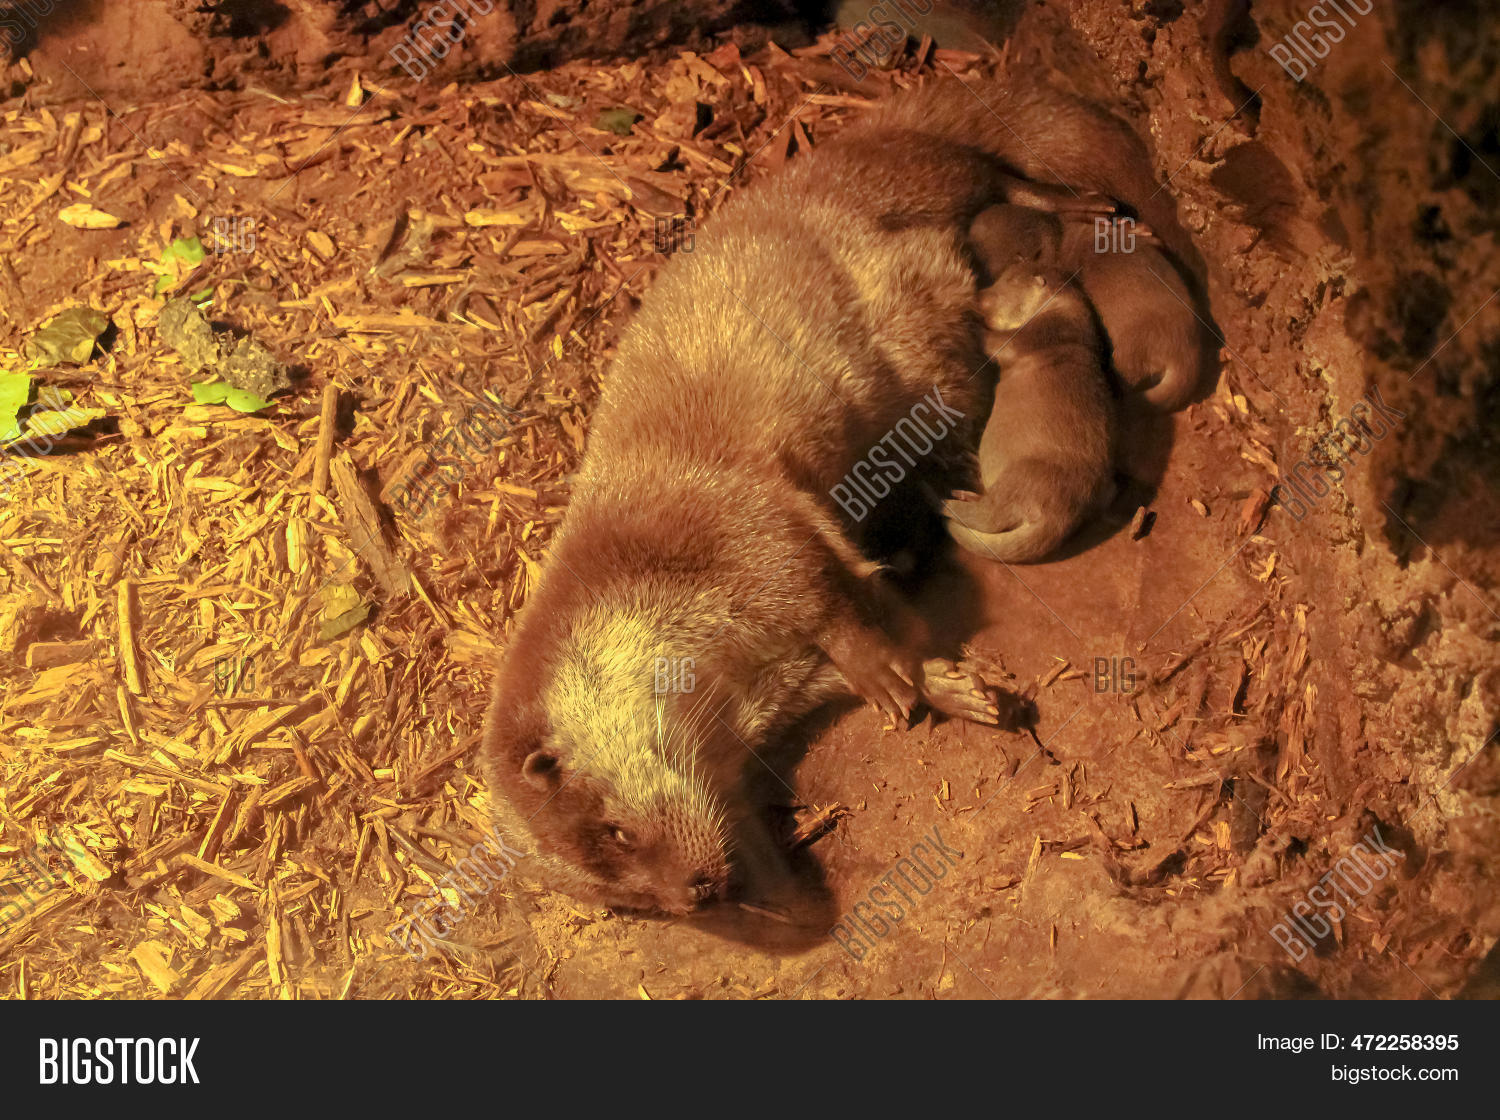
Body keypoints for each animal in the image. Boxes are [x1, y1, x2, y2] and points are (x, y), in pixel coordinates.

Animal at [481, 76, 1199, 915]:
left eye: (617, 830)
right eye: (625, 900)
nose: (697, 892)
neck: (638, 589)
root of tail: (863, 134)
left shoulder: (730, 522)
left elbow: (816, 585)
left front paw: (884, 666)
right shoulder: (775, 678)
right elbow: (862, 651)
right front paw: (950, 690)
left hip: (910, 178)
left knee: (992, 174)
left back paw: (1083, 204)